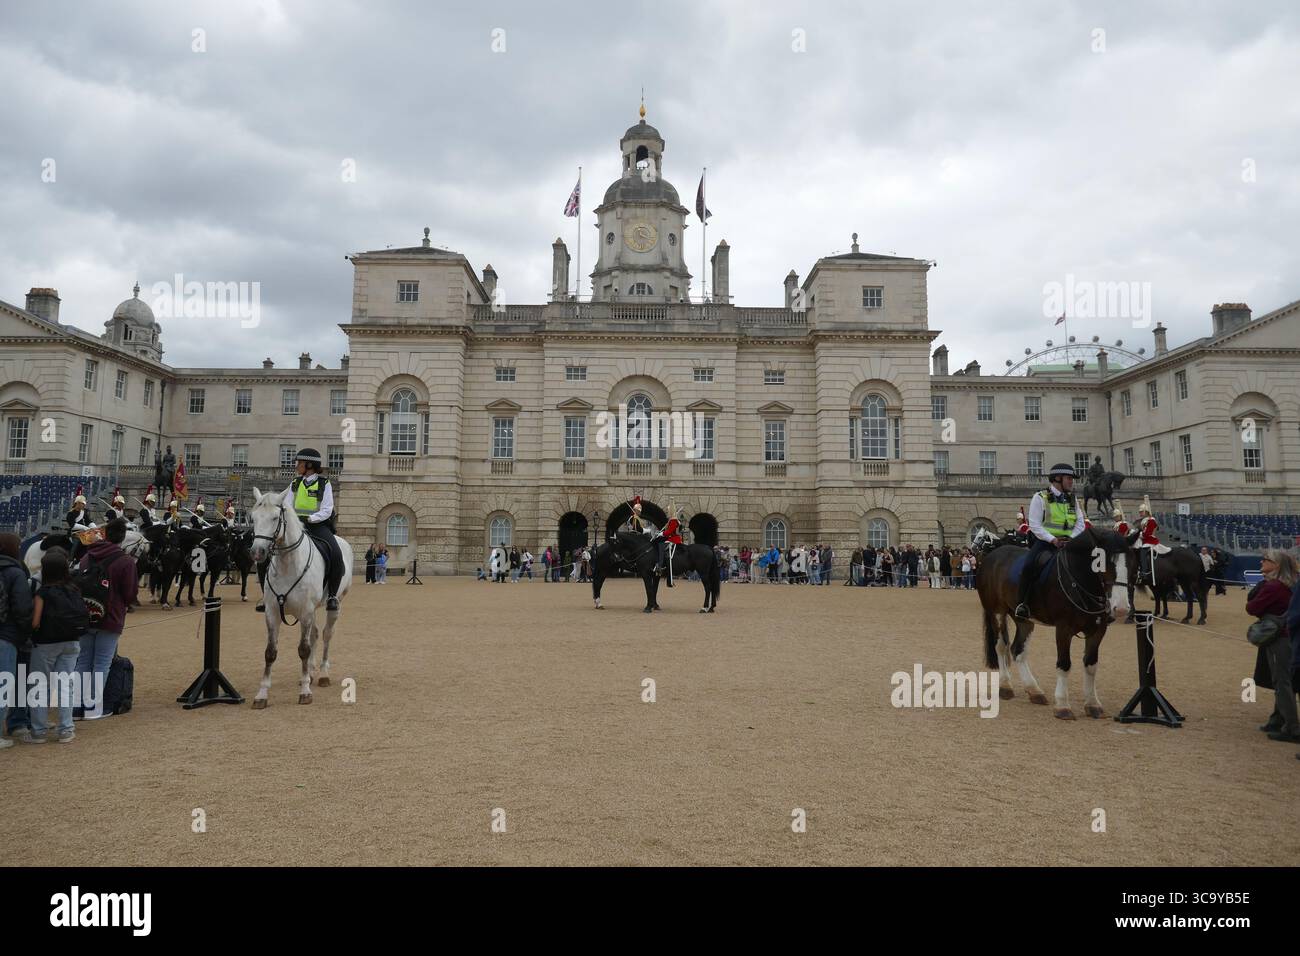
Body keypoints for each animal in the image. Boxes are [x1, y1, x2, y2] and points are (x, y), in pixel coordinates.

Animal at [247, 486, 353, 708]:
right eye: (253, 518)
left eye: (275, 517)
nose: (257, 552)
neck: (288, 566)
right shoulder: (272, 613)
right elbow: (270, 652)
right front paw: (262, 694)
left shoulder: (305, 612)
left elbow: (303, 649)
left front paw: (305, 692)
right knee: (314, 634)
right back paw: (310, 673)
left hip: (334, 606)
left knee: (326, 635)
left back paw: (322, 674)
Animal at [590, 529, 720, 613]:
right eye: (612, 542)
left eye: (615, 542)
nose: (615, 557)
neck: (644, 549)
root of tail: (709, 547)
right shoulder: (655, 574)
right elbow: (653, 590)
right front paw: (654, 605)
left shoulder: (646, 574)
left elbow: (649, 589)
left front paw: (649, 607)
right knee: (598, 583)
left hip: (703, 573)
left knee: (708, 587)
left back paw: (705, 608)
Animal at [976, 528, 1136, 720]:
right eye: (1101, 562)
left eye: (1131, 561)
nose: (1121, 608)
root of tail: (992, 555)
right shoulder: (1063, 628)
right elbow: (1064, 664)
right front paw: (1062, 705)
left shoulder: (1098, 630)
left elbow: (1091, 665)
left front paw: (1092, 704)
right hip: (997, 612)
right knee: (1001, 646)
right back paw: (1005, 686)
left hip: (1024, 620)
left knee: (1017, 650)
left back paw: (1034, 690)